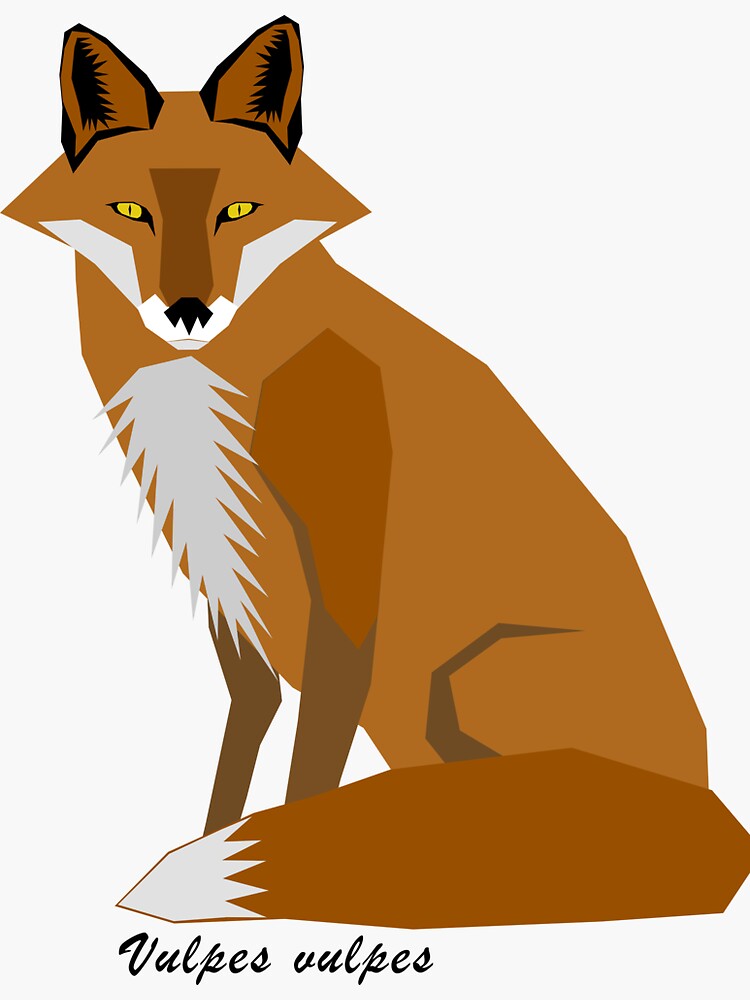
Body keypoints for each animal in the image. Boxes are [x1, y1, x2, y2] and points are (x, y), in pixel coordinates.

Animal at [4, 17, 750, 928]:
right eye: (131, 211)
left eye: (238, 211)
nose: (188, 313)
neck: (204, 388)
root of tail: (707, 796)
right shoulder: (222, 564)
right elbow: (244, 732)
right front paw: (213, 836)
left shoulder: (345, 566)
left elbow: (311, 763)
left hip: (452, 686)